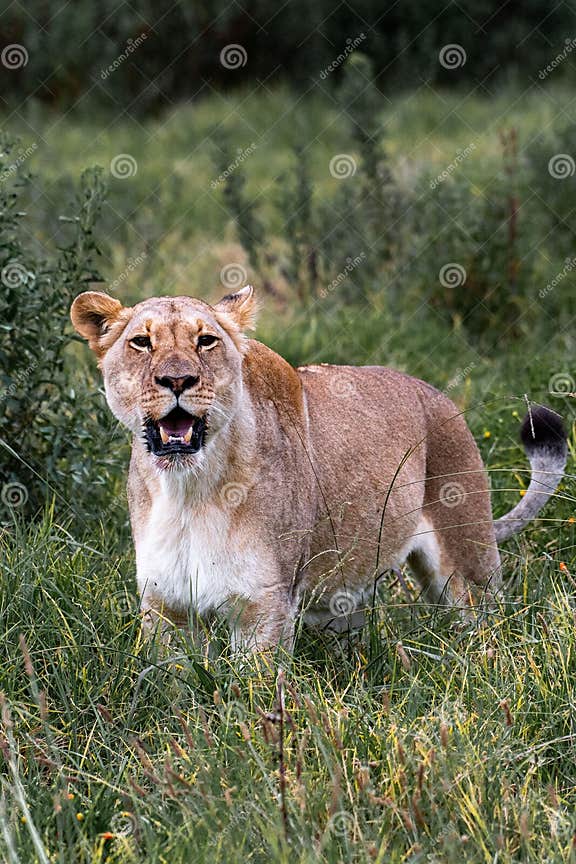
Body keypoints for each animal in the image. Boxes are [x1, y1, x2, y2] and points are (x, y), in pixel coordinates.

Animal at [70, 286, 567, 651]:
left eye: (205, 340)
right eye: (141, 342)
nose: (177, 379)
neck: (189, 489)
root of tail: (441, 397)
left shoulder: (265, 604)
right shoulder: (164, 606)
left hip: (468, 563)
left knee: (484, 628)